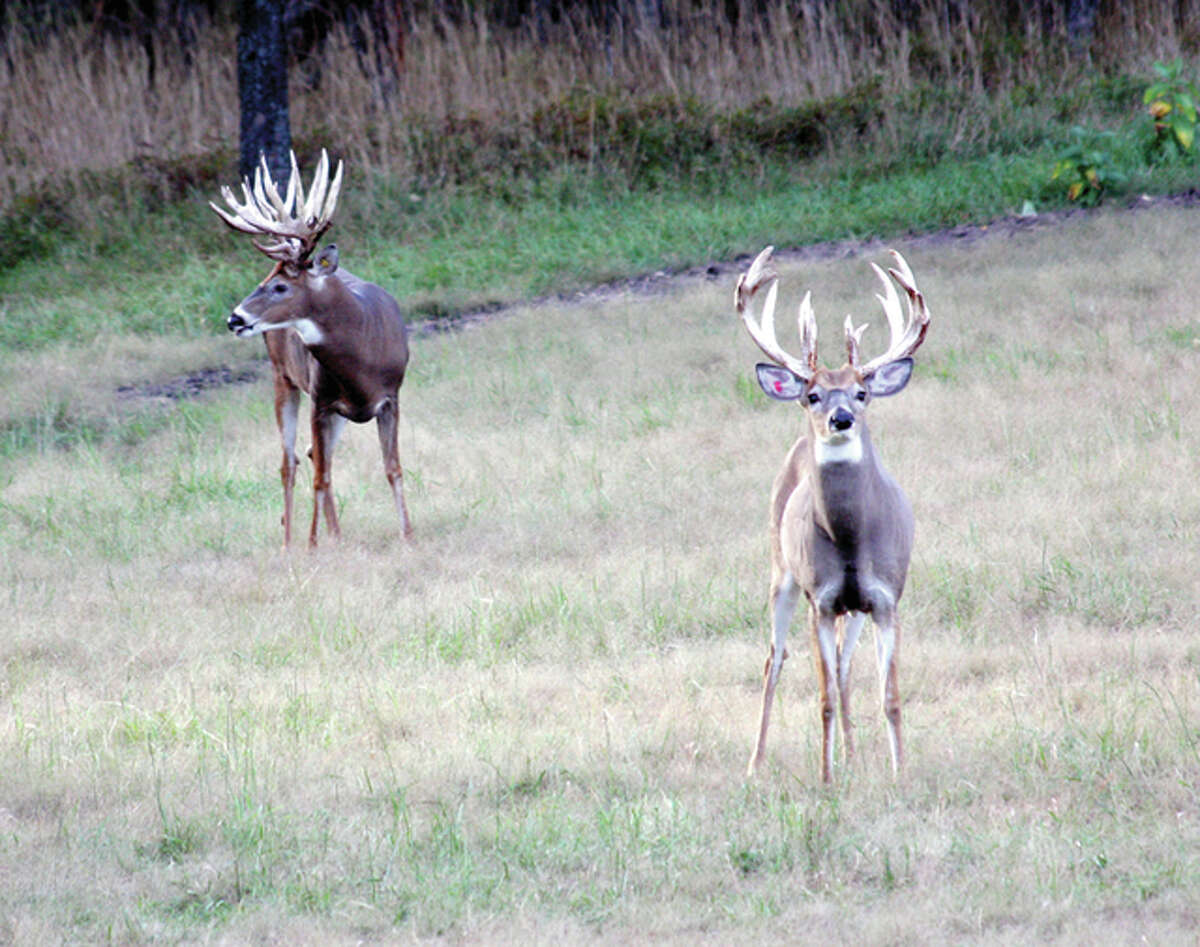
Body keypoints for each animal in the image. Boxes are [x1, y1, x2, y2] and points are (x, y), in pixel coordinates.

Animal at [210, 149, 413, 548]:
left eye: (280, 287)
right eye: (264, 279)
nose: (234, 319)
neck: (362, 363)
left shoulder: (391, 397)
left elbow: (393, 468)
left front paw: (409, 536)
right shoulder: (320, 398)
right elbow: (319, 476)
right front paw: (311, 545)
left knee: (314, 457)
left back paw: (336, 532)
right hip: (283, 378)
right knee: (291, 462)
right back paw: (291, 540)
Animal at [734, 246, 930, 783]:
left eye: (862, 393)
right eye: (812, 394)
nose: (840, 419)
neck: (848, 542)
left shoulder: (885, 598)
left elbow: (890, 696)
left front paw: (900, 774)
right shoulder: (819, 599)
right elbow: (820, 698)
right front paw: (825, 779)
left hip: (854, 608)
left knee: (843, 664)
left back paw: (854, 754)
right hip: (780, 571)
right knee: (774, 659)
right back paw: (756, 763)